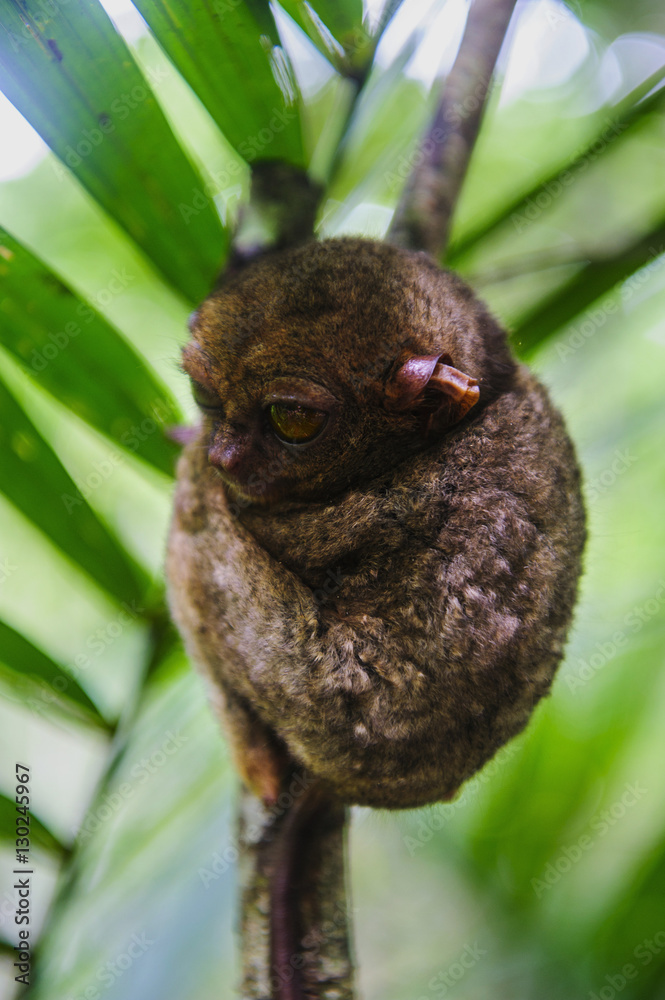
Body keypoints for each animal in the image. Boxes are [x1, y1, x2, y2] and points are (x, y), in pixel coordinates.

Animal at [165, 236, 586, 996]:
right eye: (207, 395)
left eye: (292, 421)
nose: (226, 454)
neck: (493, 388)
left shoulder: (362, 507)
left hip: (300, 683)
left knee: (189, 514)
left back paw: (258, 763)